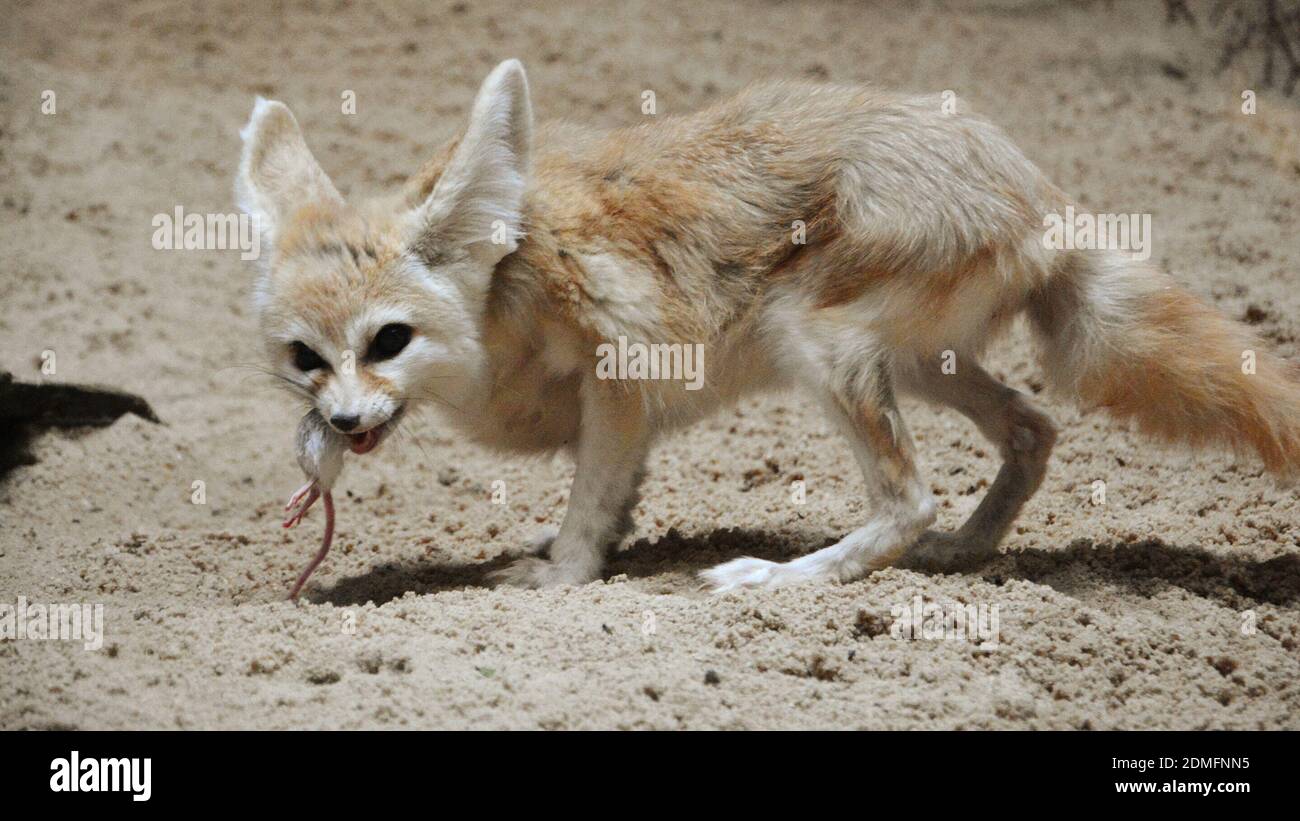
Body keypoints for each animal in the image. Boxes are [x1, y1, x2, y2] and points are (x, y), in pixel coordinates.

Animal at [235, 59, 1300, 592]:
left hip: (820, 342)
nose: (339, 426)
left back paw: (782, 578)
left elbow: (592, 496)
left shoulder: (622, 370)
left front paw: (562, 579)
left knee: (908, 499)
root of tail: (1040, 192)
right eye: (305, 360)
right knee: (1033, 429)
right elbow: (610, 493)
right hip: (916, 360)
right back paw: (964, 550)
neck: (502, 288)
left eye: (389, 341)